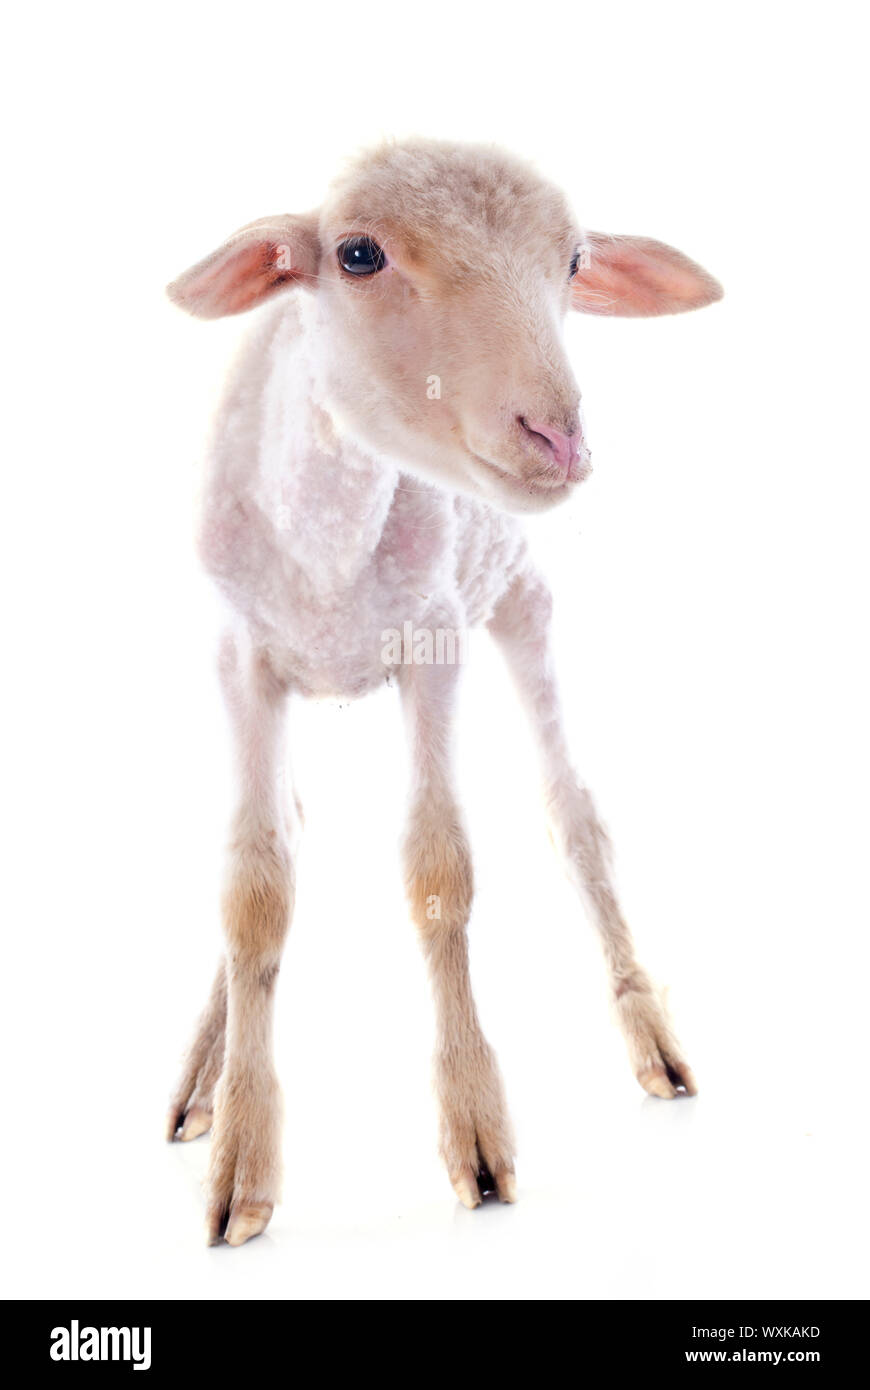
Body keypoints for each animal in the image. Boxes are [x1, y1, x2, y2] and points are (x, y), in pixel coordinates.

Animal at [165, 137, 722, 1246]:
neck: (327, 551)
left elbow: (439, 869)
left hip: (521, 597)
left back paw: (652, 1038)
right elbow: (253, 888)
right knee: (287, 824)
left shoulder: (437, 640)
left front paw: (476, 1137)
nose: (559, 437)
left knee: (574, 812)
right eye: (356, 254)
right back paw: (205, 1068)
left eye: (578, 261)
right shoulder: (239, 657)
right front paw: (241, 1160)